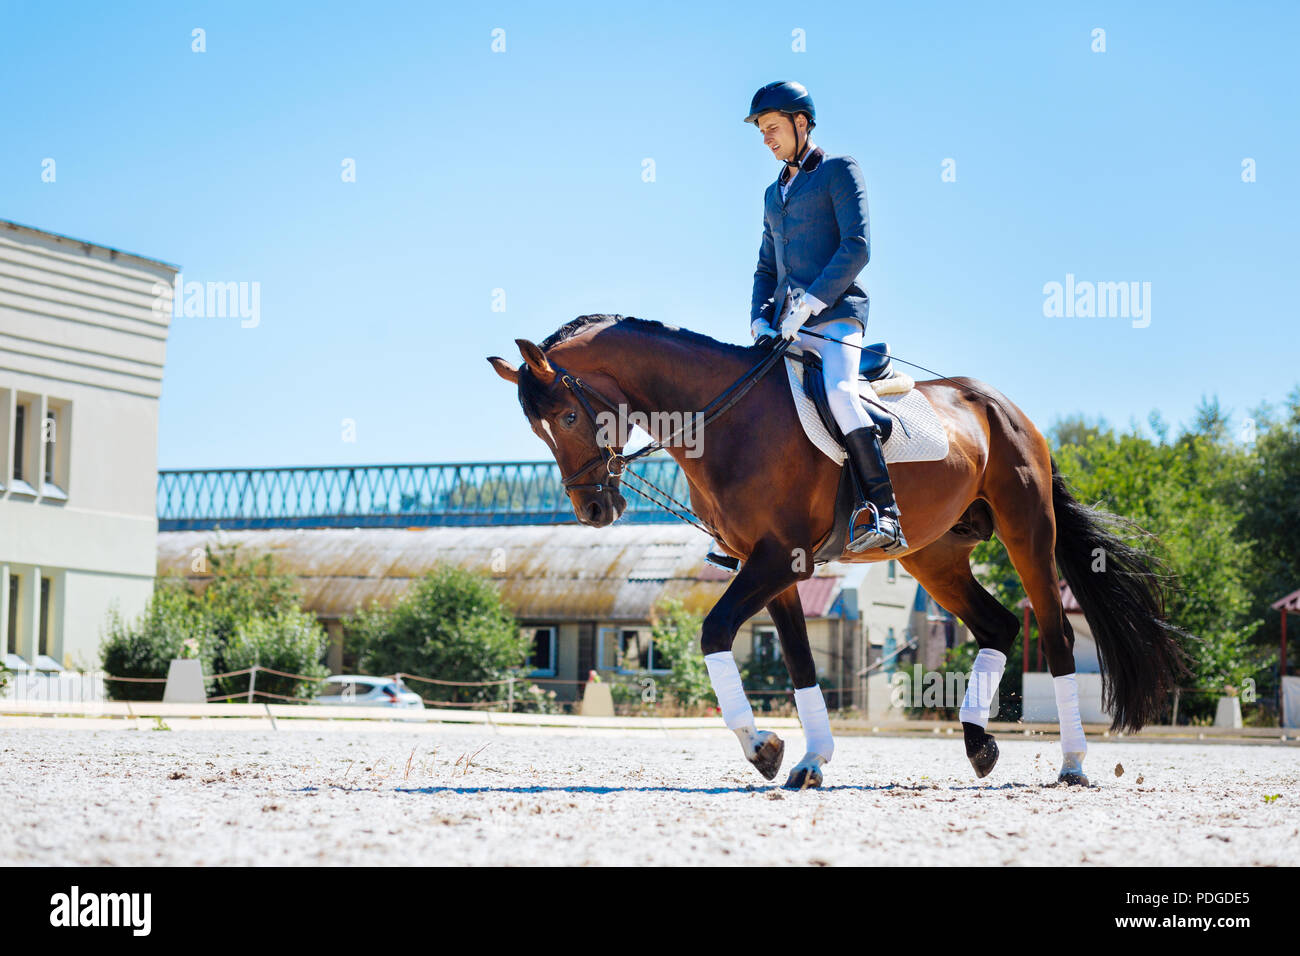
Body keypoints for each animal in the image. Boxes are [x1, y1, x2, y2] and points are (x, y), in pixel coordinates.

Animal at [487, 314, 1190, 789]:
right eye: (536, 430)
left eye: (569, 418)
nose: (593, 511)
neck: (727, 420)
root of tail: (1003, 407)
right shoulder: (774, 566)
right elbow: (798, 660)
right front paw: (804, 758)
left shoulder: (776, 557)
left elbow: (715, 631)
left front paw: (762, 747)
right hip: (932, 555)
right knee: (994, 624)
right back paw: (979, 745)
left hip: (1027, 533)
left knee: (1055, 631)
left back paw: (1072, 762)